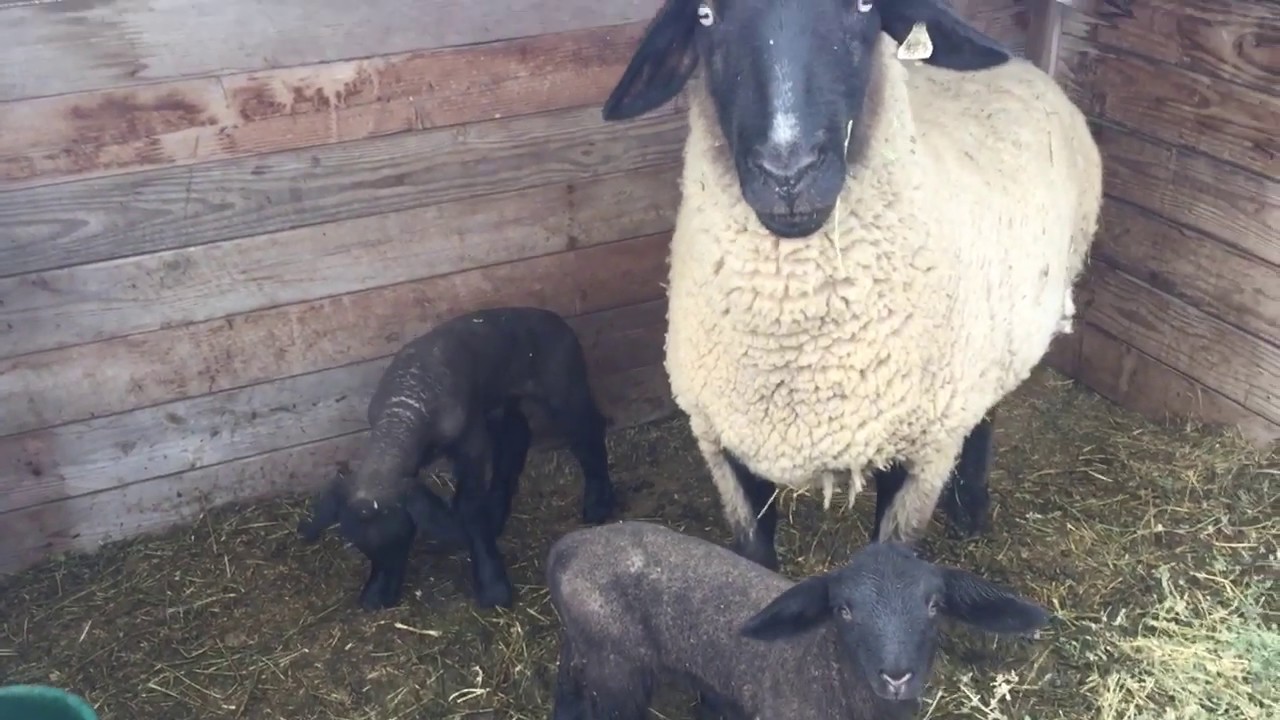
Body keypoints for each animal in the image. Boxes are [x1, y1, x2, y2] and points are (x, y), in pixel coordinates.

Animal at [297, 306, 617, 611]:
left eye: (403, 539)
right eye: (365, 550)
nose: (383, 599)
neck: (404, 411)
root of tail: (556, 319)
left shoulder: (471, 444)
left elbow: (469, 508)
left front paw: (493, 587)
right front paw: (373, 593)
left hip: (564, 387)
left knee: (587, 432)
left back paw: (598, 504)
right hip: (500, 398)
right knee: (516, 437)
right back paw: (498, 511)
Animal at [547, 520, 1052, 720]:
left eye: (933, 606)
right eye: (843, 610)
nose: (896, 677)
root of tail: (572, 546)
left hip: (583, 648)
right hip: (616, 670)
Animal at [598, 0, 1103, 567]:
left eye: (864, 7)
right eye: (705, 15)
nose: (787, 172)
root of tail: (1026, 65)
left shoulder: (918, 450)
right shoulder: (725, 447)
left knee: (986, 413)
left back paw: (971, 510)